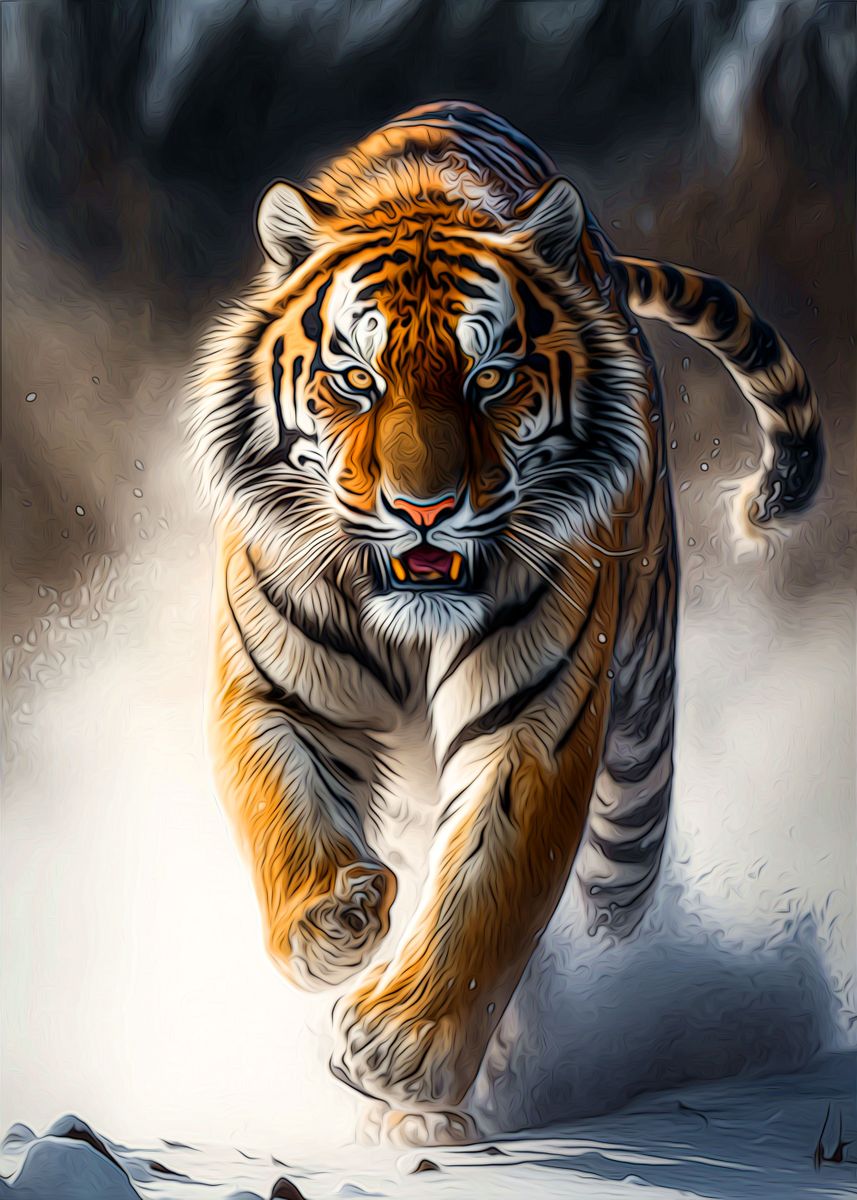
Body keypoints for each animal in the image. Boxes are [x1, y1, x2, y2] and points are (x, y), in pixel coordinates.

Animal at [188, 101, 823, 1137]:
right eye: (356, 380)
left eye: (488, 378)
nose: (423, 508)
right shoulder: (273, 684)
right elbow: (281, 808)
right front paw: (331, 922)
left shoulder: (533, 716)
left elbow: (491, 887)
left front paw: (402, 1049)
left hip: (637, 769)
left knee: (608, 908)